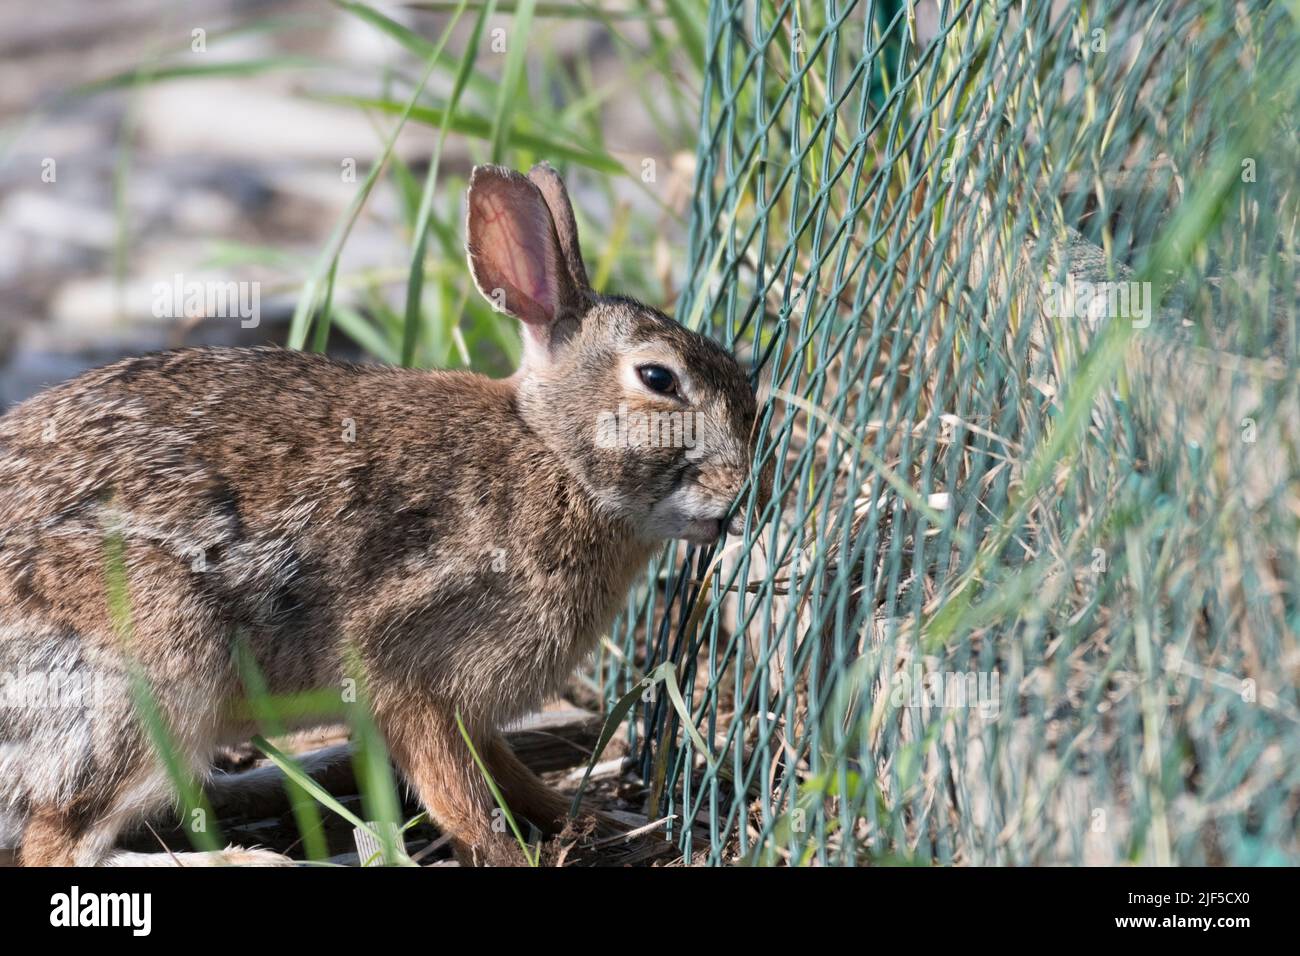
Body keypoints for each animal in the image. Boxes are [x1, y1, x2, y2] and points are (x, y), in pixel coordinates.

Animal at [0, 162, 767, 866]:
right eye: (658, 379)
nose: (742, 495)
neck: (553, 453)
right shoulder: (410, 668)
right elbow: (456, 790)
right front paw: (506, 855)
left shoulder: (471, 707)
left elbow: (508, 772)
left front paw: (591, 821)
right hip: (155, 667)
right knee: (59, 842)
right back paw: (248, 857)